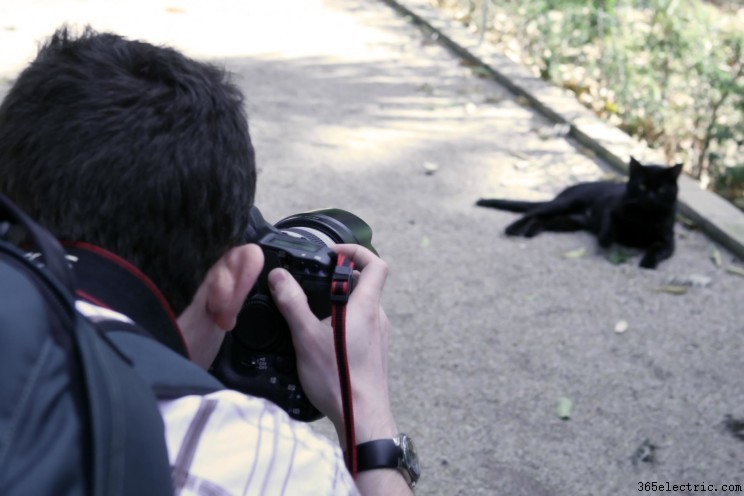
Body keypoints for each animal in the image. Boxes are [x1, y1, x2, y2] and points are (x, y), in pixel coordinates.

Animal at [480, 158, 684, 268]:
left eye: (661, 189)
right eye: (642, 186)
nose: (650, 196)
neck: (644, 217)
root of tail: (566, 190)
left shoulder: (668, 240)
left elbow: (658, 250)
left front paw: (648, 263)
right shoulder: (611, 209)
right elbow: (609, 225)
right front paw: (606, 240)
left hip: (569, 221)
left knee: (542, 219)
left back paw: (531, 231)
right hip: (565, 204)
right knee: (533, 213)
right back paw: (513, 229)